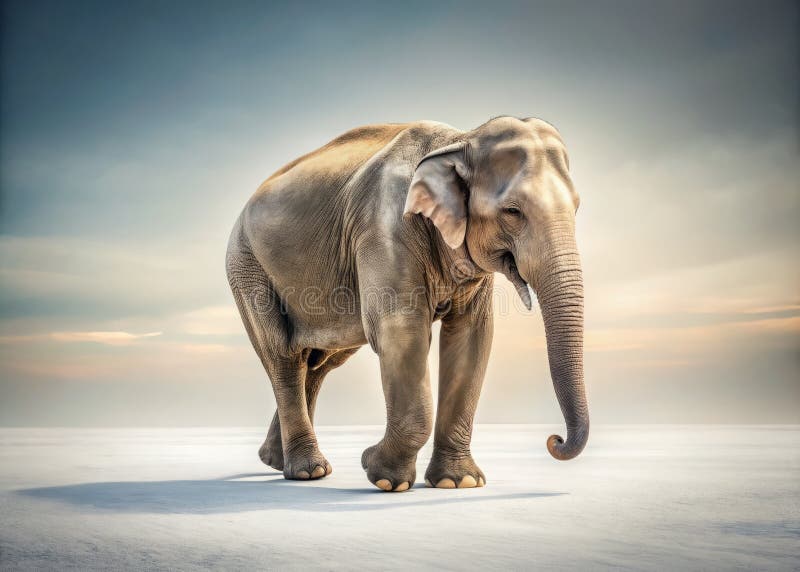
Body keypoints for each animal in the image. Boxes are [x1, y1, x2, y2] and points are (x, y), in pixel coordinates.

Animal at [226, 116, 588, 492]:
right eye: (513, 211)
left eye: (576, 208)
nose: (555, 440)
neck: (461, 140)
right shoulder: (384, 228)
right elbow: (401, 330)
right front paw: (383, 476)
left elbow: (471, 338)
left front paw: (459, 482)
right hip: (247, 267)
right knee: (283, 355)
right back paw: (307, 471)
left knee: (320, 362)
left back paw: (277, 461)